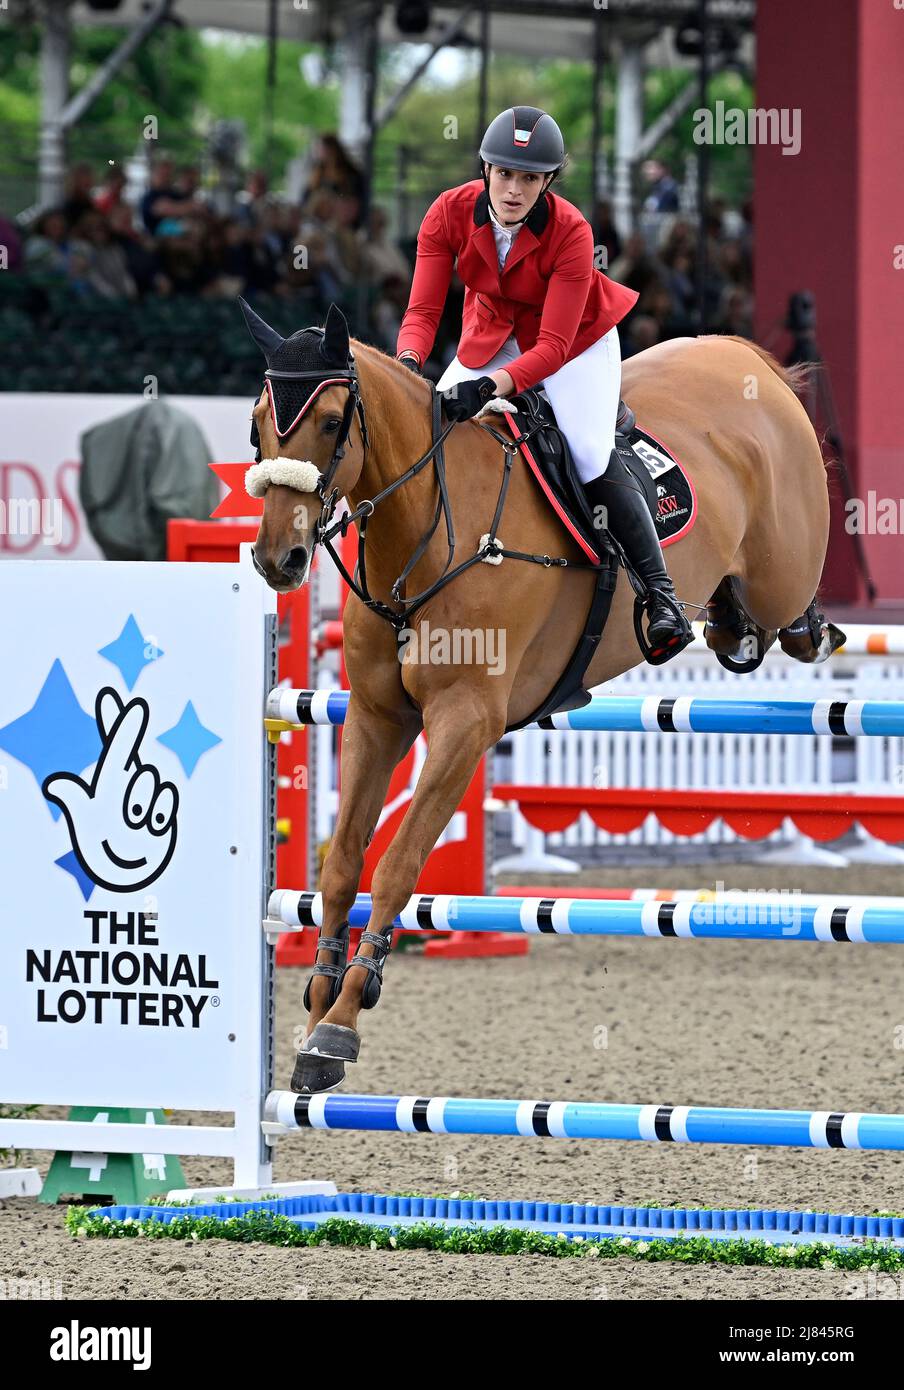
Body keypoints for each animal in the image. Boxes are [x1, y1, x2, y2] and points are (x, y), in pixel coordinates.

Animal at [241, 299, 838, 1093]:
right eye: (257, 423)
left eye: (334, 420)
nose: (278, 559)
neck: (430, 529)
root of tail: (745, 360)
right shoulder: (375, 719)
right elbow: (340, 867)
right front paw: (314, 1014)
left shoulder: (464, 723)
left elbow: (397, 864)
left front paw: (342, 1021)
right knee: (744, 625)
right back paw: (725, 624)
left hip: (784, 573)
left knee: (791, 616)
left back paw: (778, 627)